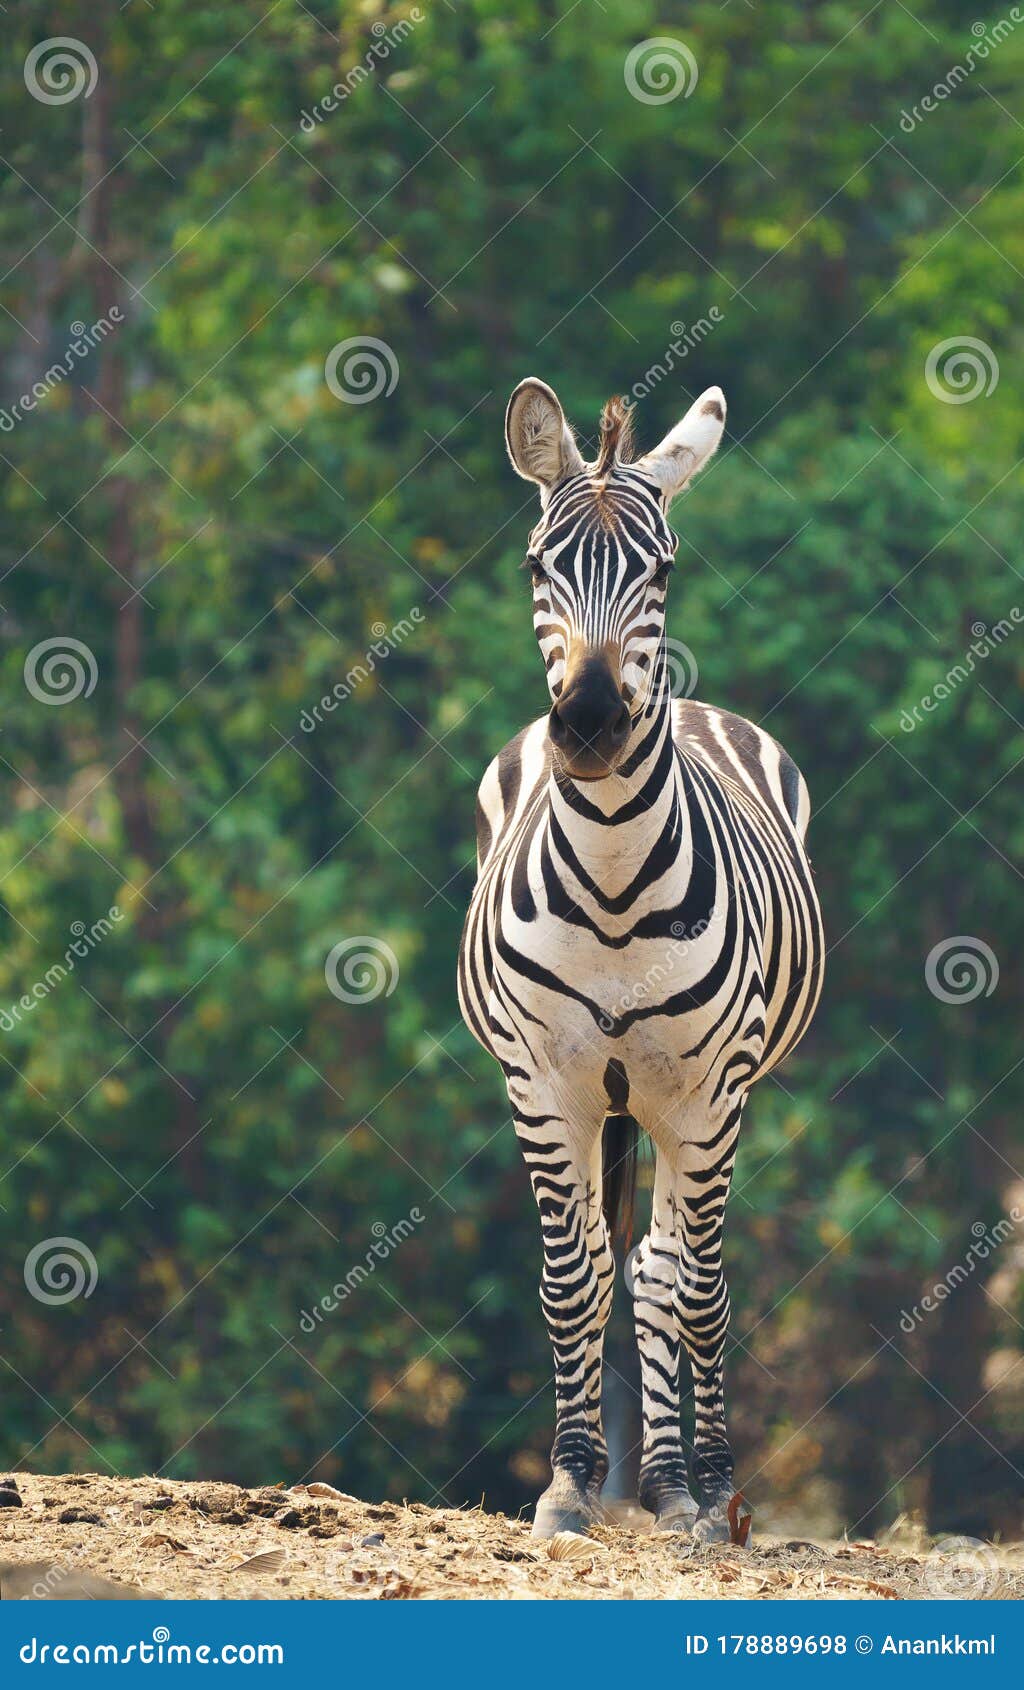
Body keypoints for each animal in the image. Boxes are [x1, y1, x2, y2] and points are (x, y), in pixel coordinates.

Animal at [458, 378, 824, 1542]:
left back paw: (681, 1484)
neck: (617, 878)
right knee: (626, 1263)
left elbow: (690, 1288)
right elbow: (571, 1279)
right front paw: (571, 1483)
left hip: (695, 1102)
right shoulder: (544, 1085)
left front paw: (701, 1494)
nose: (586, 724)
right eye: (538, 565)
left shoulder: (707, 1094)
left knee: (671, 1272)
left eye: (659, 570)